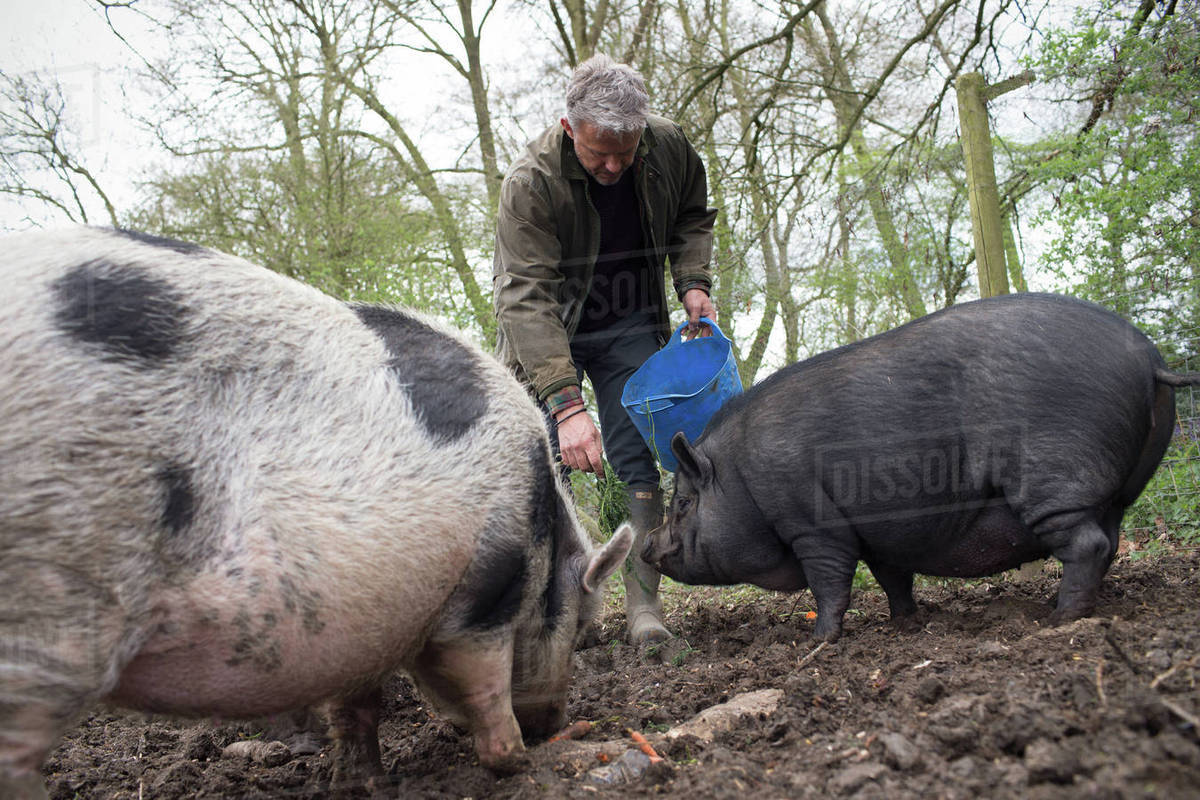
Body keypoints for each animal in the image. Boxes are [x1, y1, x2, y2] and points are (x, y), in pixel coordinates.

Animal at [0, 226, 632, 799]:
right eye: (582, 629)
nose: (551, 722)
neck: (541, 529)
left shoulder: (368, 630)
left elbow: (358, 706)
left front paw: (365, 784)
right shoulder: (485, 594)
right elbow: (486, 690)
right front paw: (520, 762)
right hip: (53, 593)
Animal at [643, 293, 1199, 642]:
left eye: (685, 503)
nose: (647, 545)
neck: (740, 480)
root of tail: (1152, 359)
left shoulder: (812, 525)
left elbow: (830, 583)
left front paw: (817, 640)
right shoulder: (878, 534)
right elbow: (893, 580)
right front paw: (904, 625)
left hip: (1052, 480)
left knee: (1089, 544)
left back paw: (1060, 619)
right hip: (1118, 491)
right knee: (1111, 540)